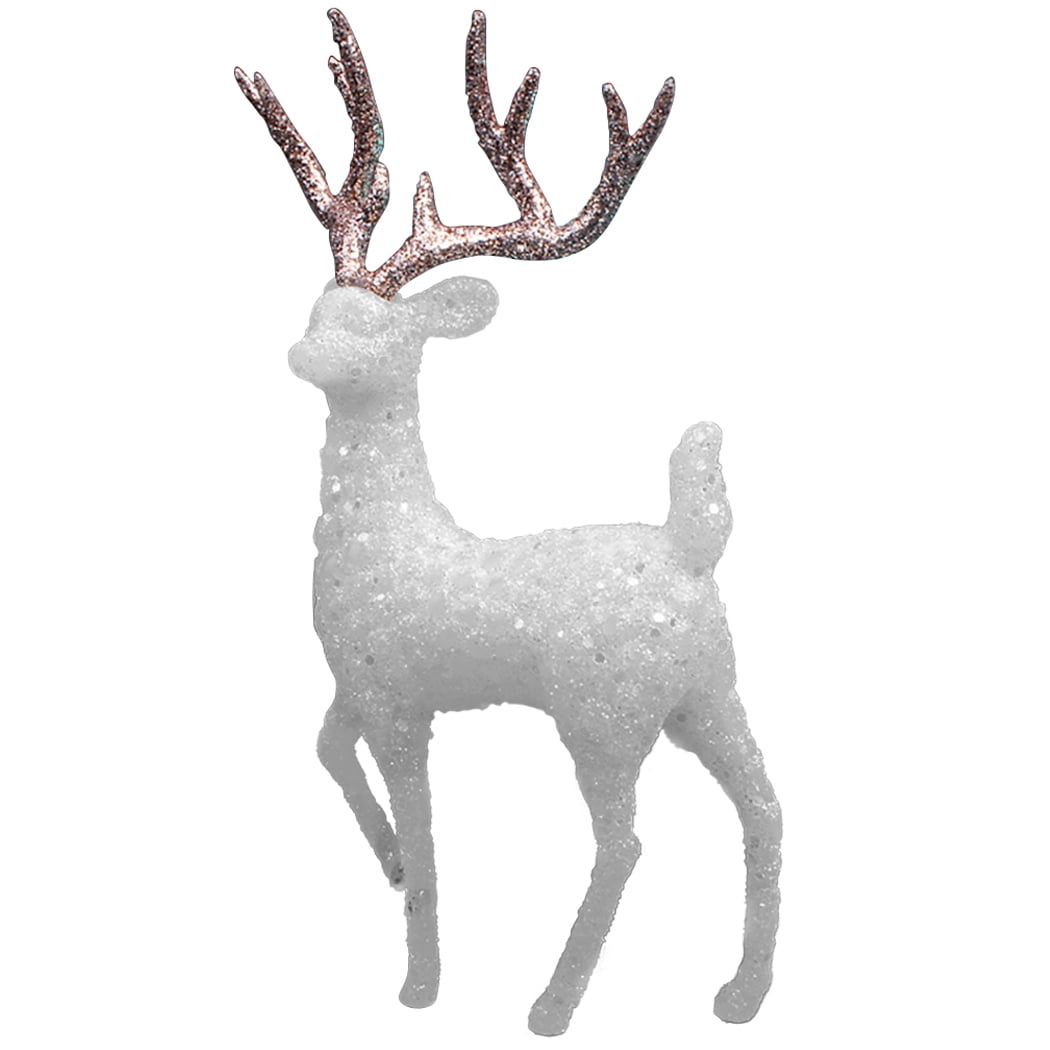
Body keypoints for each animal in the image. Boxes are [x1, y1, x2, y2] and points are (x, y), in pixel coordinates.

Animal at [236, 8, 781, 1037]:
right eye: (320, 308)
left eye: (376, 330)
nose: (301, 354)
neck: (387, 535)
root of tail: (689, 548)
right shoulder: (357, 680)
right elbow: (325, 748)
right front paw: (387, 863)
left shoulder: (400, 702)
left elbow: (429, 832)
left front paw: (419, 983)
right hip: (706, 693)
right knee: (766, 808)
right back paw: (740, 996)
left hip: (604, 713)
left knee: (626, 843)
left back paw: (551, 1005)